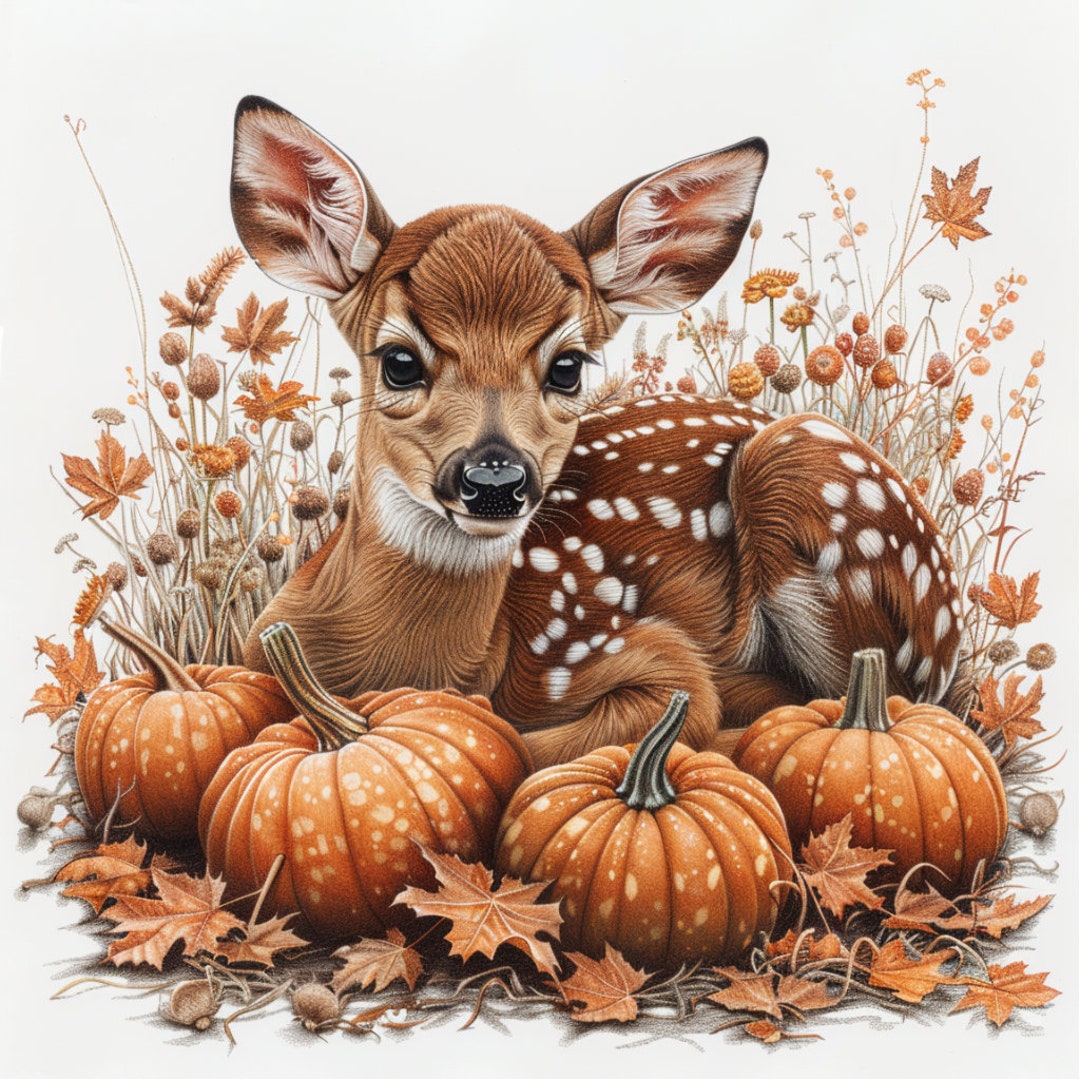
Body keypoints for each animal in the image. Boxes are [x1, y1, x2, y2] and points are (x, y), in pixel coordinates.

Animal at [230, 96, 964, 769]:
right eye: (399, 361)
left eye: (567, 367)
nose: (494, 480)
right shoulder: (258, 646)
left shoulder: (623, 646)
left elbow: (545, 743)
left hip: (812, 481)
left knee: (881, 697)